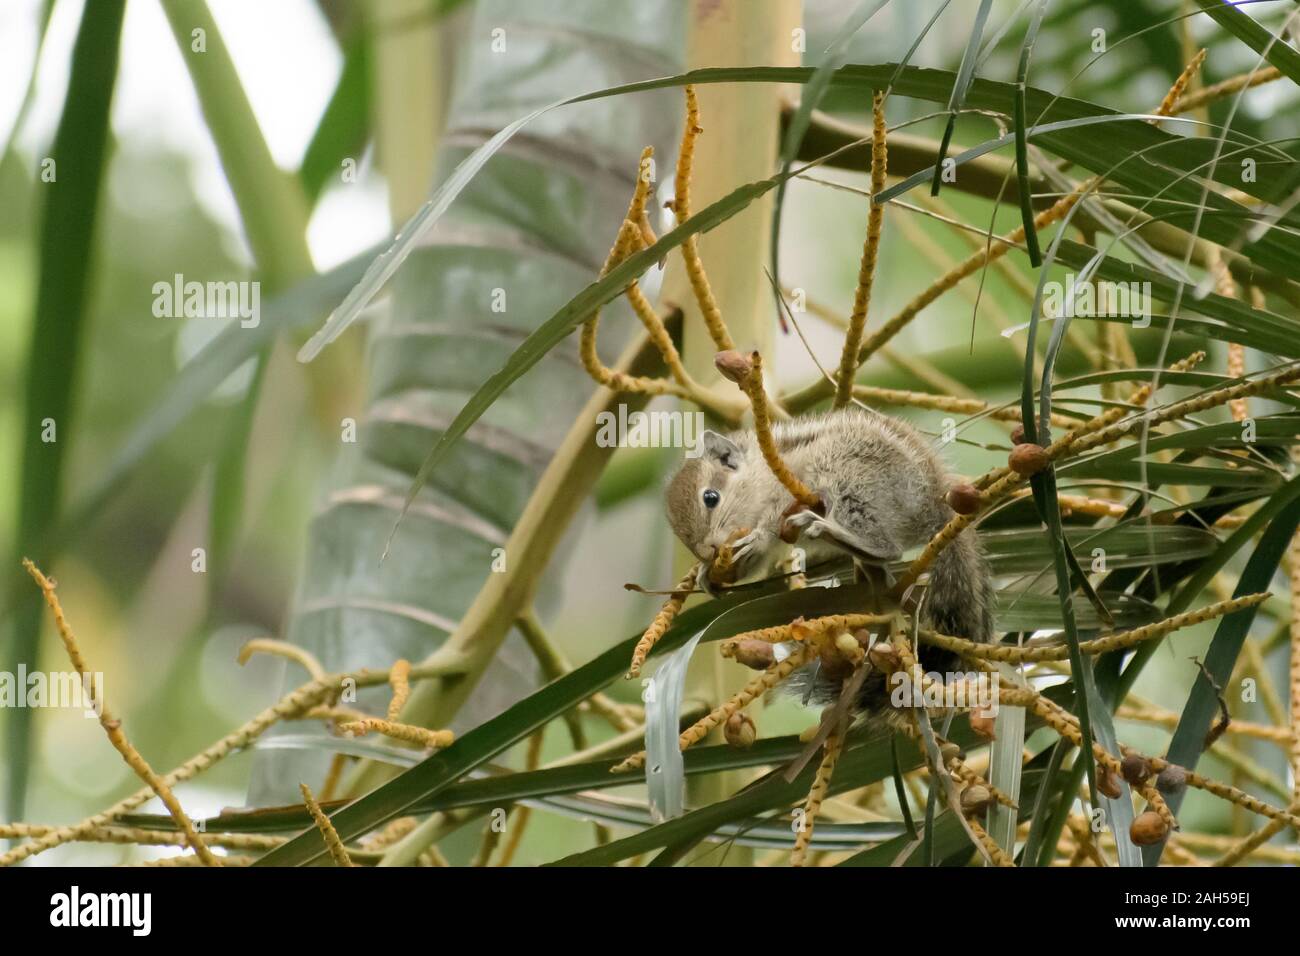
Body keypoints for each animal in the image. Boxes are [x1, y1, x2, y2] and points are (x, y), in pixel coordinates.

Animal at [665, 405, 994, 715]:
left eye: (710, 497)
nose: (707, 550)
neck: (759, 474)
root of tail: (938, 504)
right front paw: (707, 574)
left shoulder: (786, 489)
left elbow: (771, 521)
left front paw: (754, 537)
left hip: (846, 470)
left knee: (888, 548)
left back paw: (833, 531)